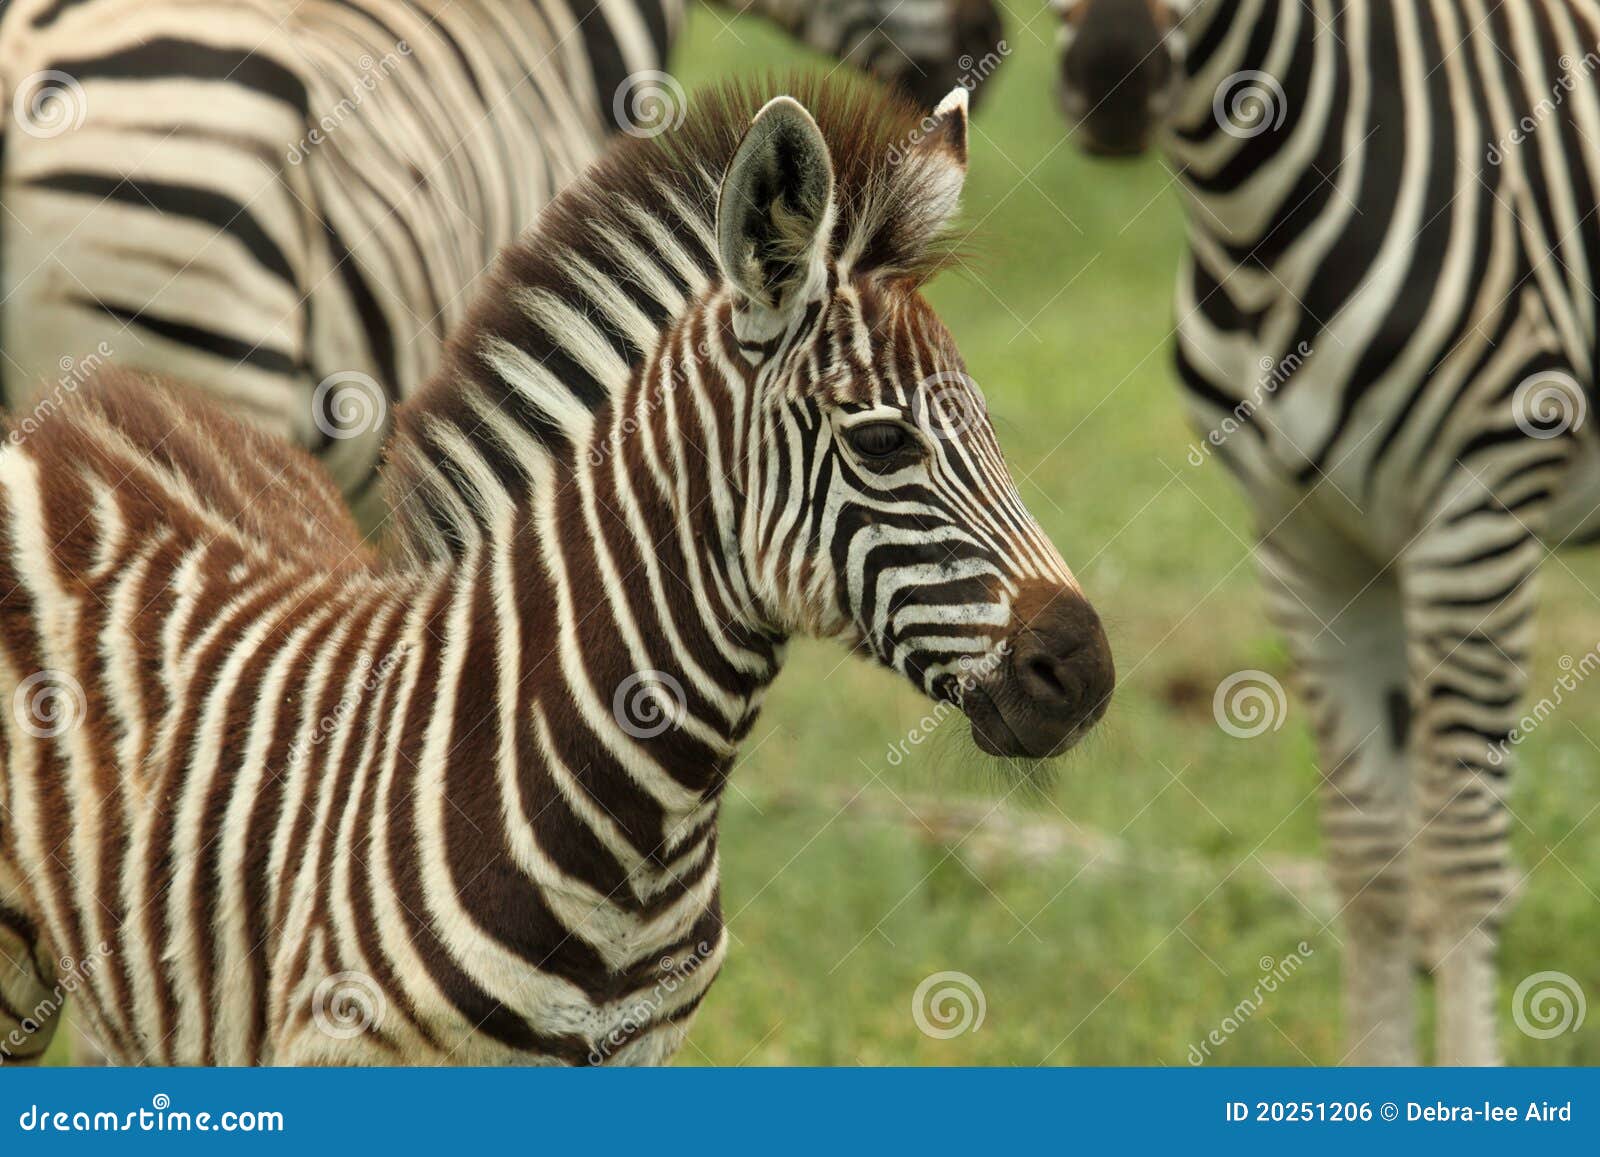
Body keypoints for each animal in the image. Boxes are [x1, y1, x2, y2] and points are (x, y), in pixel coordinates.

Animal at [1056, 0, 1600, 1064]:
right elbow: (1369, 856)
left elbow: (1461, 855)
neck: (1256, 225)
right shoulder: (1307, 544)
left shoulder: (1478, 510)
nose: (1111, 77)